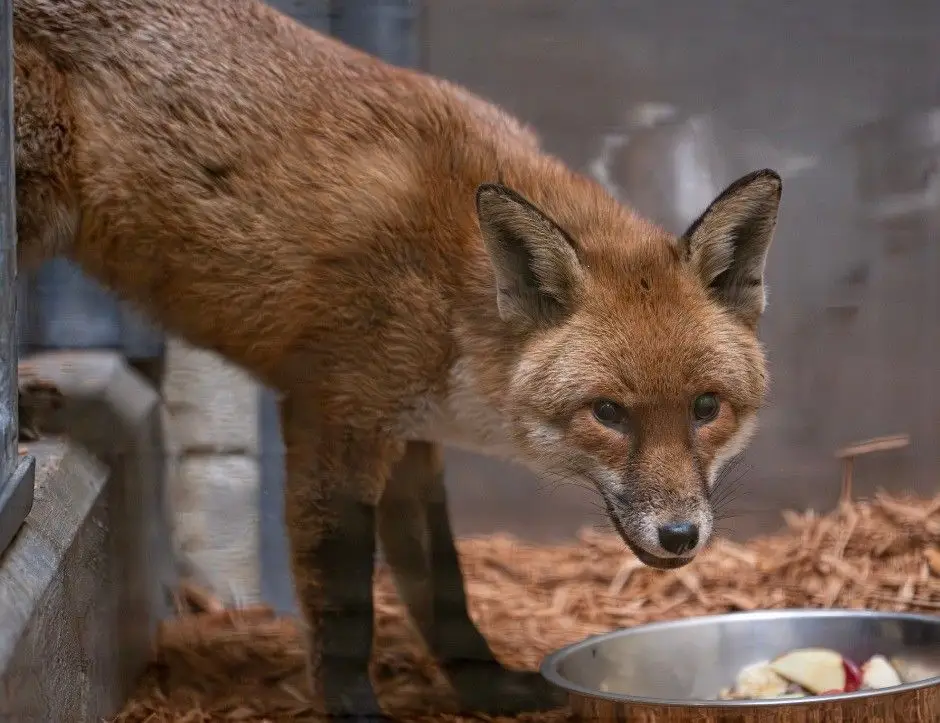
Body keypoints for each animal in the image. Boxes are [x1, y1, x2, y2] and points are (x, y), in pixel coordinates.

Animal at [12, 0, 781, 719]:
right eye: (609, 413)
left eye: (706, 407)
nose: (680, 536)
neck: (452, 300)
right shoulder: (335, 419)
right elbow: (346, 601)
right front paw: (353, 705)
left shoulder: (413, 441)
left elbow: (444, 589)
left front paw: (489, 686)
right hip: (34, 201)